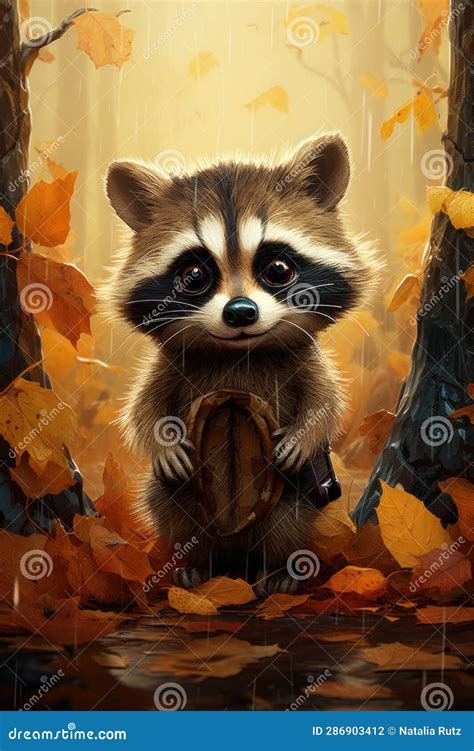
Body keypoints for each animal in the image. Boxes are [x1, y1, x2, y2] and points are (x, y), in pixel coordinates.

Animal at [105, 134, 378, 594]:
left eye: (278, 269)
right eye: (194, 275)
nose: (240, 313)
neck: (239, 353)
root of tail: (236, 553)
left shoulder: (304, 359)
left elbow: (326, 401)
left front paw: (305, 434)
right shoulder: (172, 364)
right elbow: (142, 408)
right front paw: (162, 439)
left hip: (292, 496)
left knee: (289, 519)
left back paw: (277, 570)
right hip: (182, 498)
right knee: (169, 506)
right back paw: (196, 564)